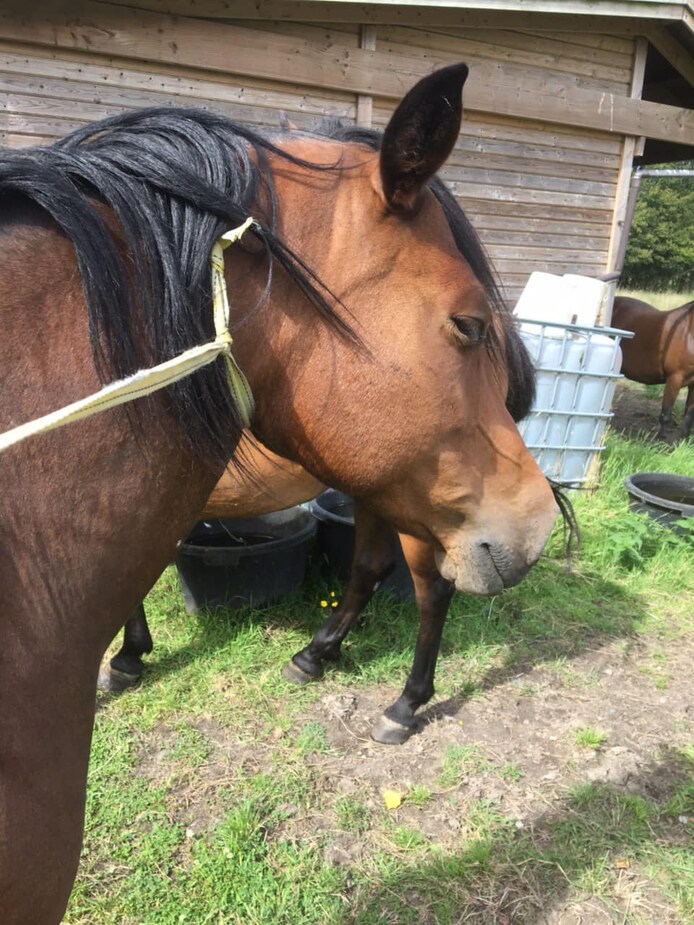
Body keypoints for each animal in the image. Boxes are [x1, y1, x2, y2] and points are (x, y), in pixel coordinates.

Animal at [0, 64, 559, 924]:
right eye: (469, 324)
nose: (536, 521)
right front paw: (132, 655)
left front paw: (126, 659)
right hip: (377, 490)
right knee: (367, 570)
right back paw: (319, 653)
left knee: (427, 590)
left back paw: (404, 705)